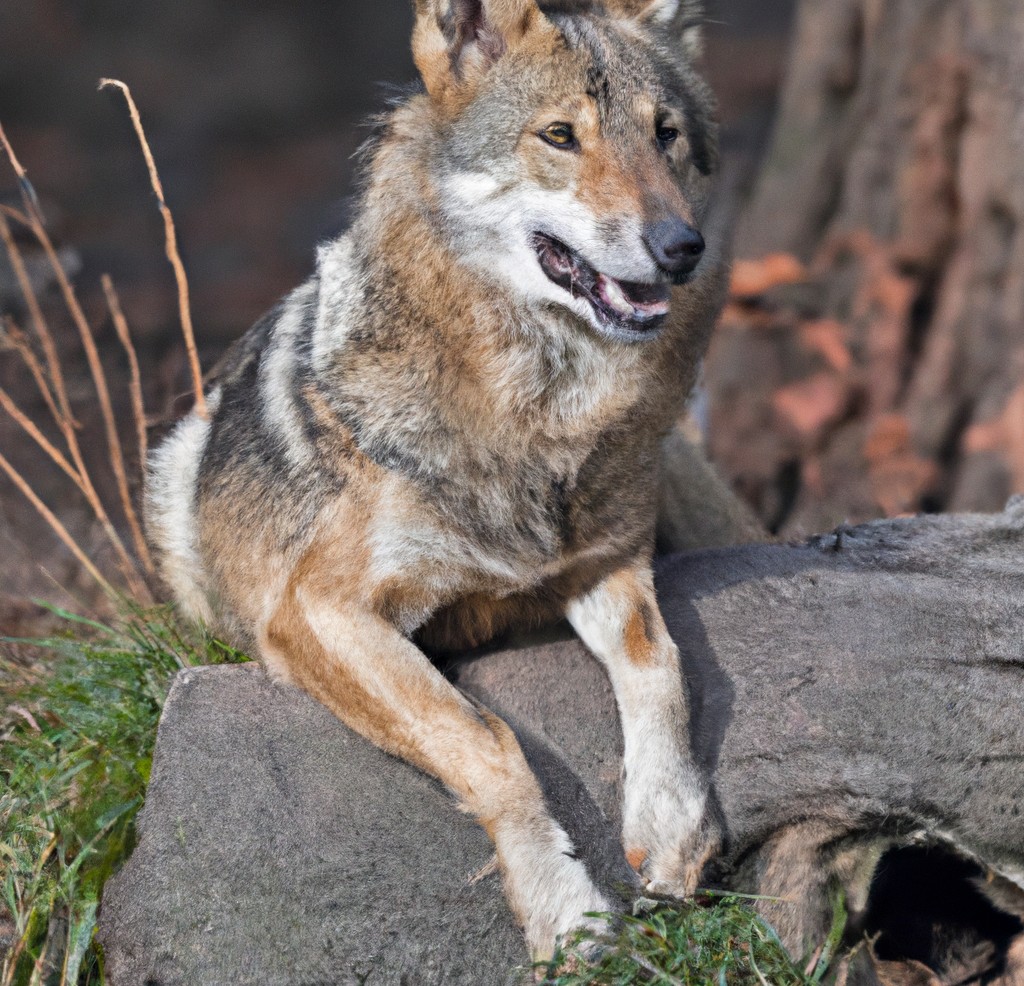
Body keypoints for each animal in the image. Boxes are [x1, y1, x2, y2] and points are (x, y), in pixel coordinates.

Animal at [146, 0, 727, 960]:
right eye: (560, 136)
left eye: (665, 134)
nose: (682, 246)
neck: (535, 411)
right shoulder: (319, 612)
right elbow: (487, 741)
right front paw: (563, 905)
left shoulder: (606, 562)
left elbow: (660, 667)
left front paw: (672, 824)